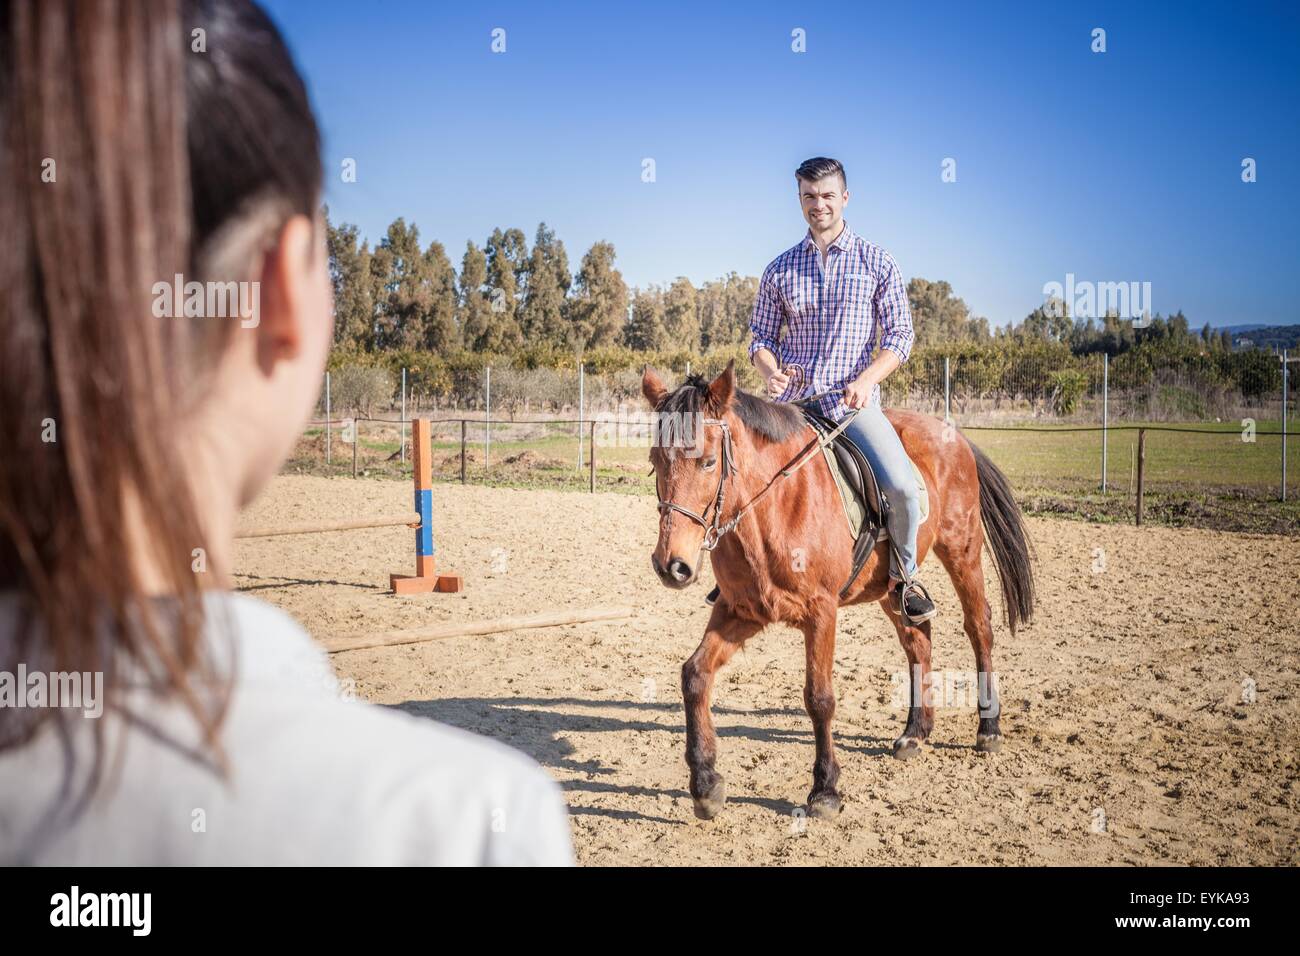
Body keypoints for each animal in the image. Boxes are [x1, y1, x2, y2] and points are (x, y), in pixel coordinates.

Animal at [642, 360, 1036, 820]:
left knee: (979, 628)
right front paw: (705, 784)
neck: (771, 506)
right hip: (892, 586)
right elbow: (695, 676)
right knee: (917, 640)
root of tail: (950, 433)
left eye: (707, 462)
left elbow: (819, 697)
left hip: (962, 550)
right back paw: (915, 732)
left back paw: (989, 727)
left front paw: (825, 789)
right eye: (655, 460)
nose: (672, 565)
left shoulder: (821, 611)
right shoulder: (741, 610)